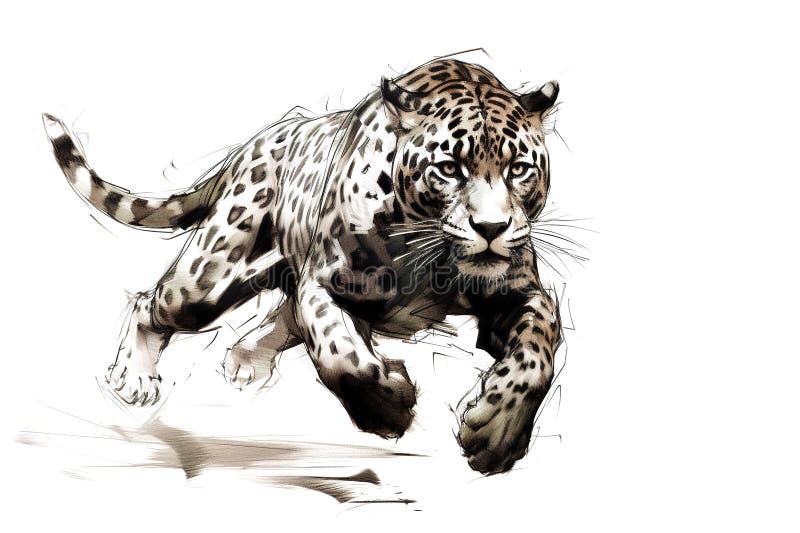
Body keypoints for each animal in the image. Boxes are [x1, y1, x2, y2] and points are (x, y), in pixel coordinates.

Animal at [43, 58, 563, 475]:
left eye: (518, 168)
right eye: (450, 168)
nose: (491, 227)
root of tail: (251, 145)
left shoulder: (523, 293)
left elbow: (536, 358)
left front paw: (494, 435)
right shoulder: (325, 283)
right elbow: (340, 356)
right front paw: (390, 408)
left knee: (279, 312)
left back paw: (245, 360)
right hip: (207, 277)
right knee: (150, 303)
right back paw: (135, 379)